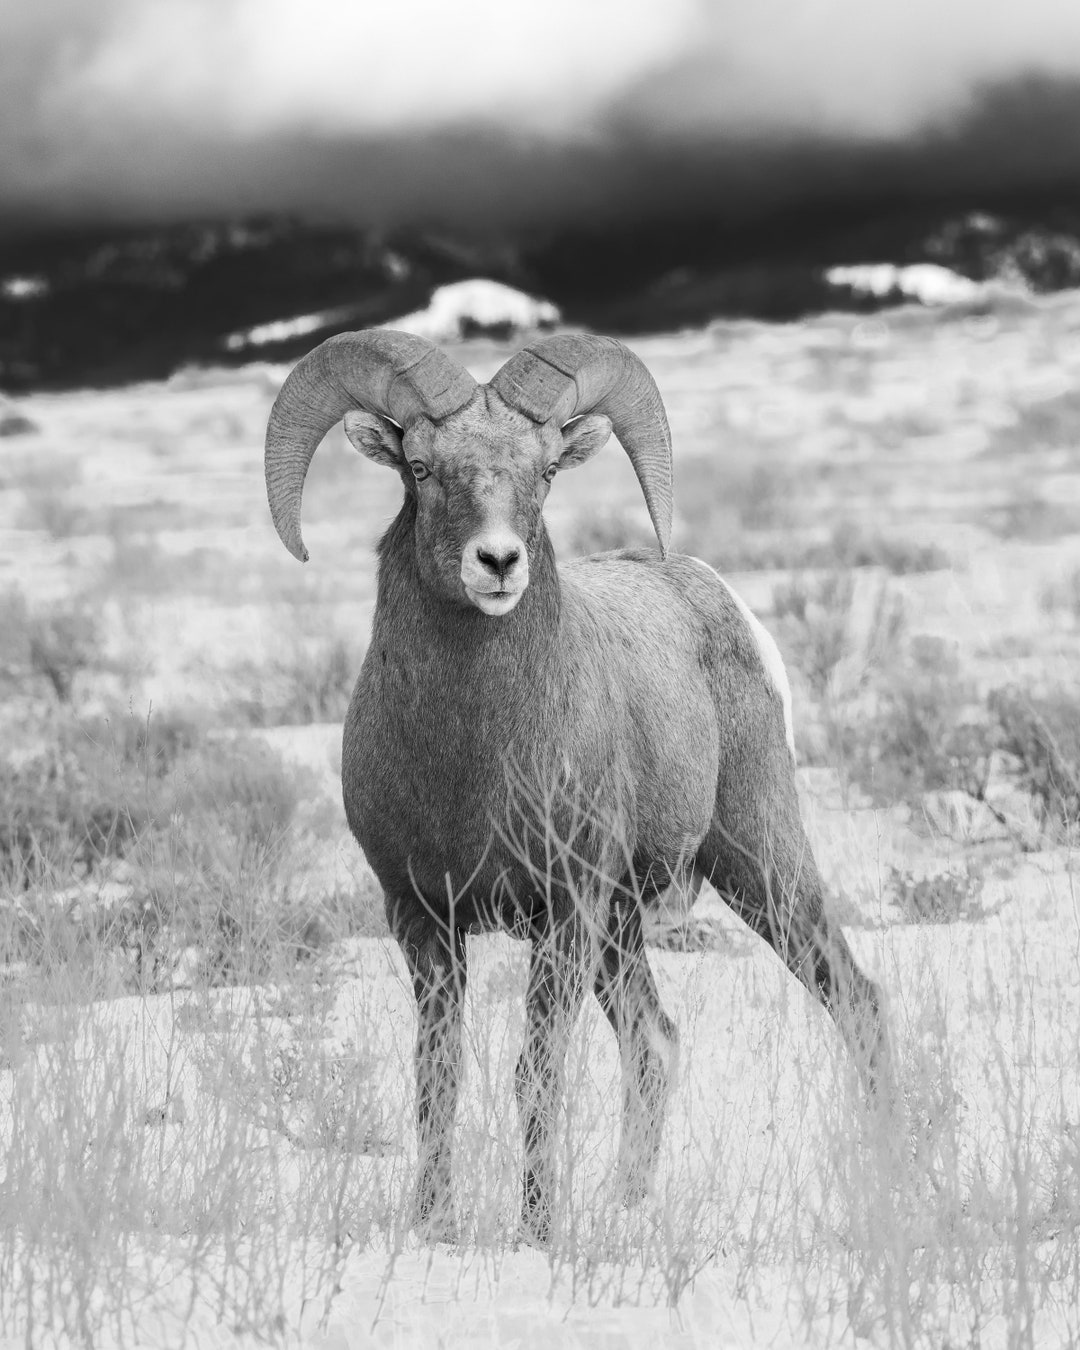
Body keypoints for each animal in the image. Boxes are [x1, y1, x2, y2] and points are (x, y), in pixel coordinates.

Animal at [264, 329, 891, 1246]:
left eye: (547, 469)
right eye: (420, 466)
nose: (497, 562)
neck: (470, 765)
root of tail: (714, 595)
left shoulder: (561, 910)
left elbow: (536, 1072)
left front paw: (536, 1232)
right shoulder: (423, 922)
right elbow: (436, 1077)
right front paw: (433, 1226)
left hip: (758, 865)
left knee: (855, 1000)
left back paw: (900, 1172)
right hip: (623, 932)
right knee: (654, 1043)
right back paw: (624, 1203)